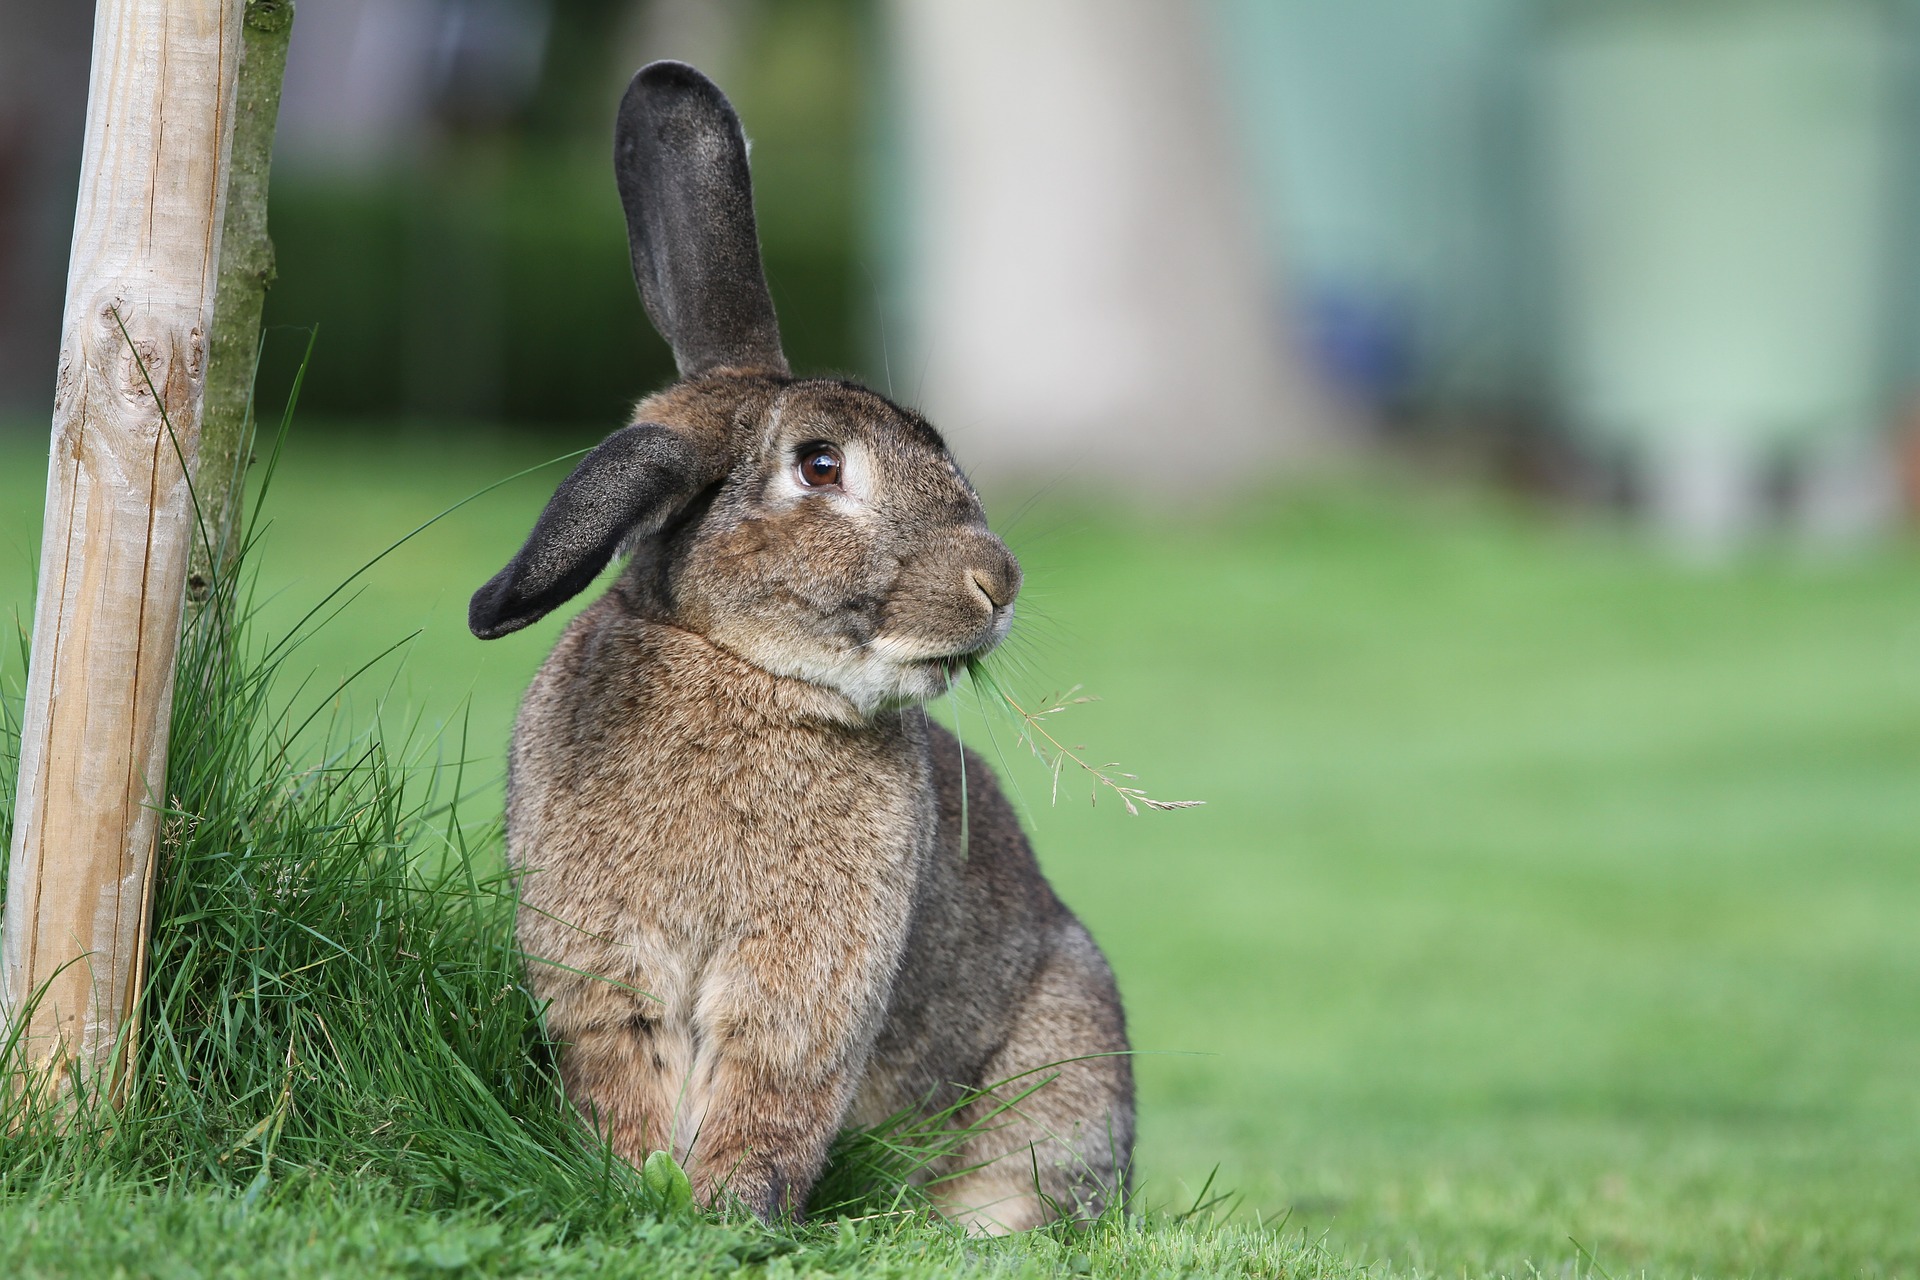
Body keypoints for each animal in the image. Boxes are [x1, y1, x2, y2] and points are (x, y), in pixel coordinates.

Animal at [468, 60, 1134, 1232]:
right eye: (821, 467)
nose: (996, 581)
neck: (740, 667)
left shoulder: (802, 984)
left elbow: (770, 1087)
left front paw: (731, 1211)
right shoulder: (602, 965)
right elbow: (626, 1071)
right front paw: (634, 1185)